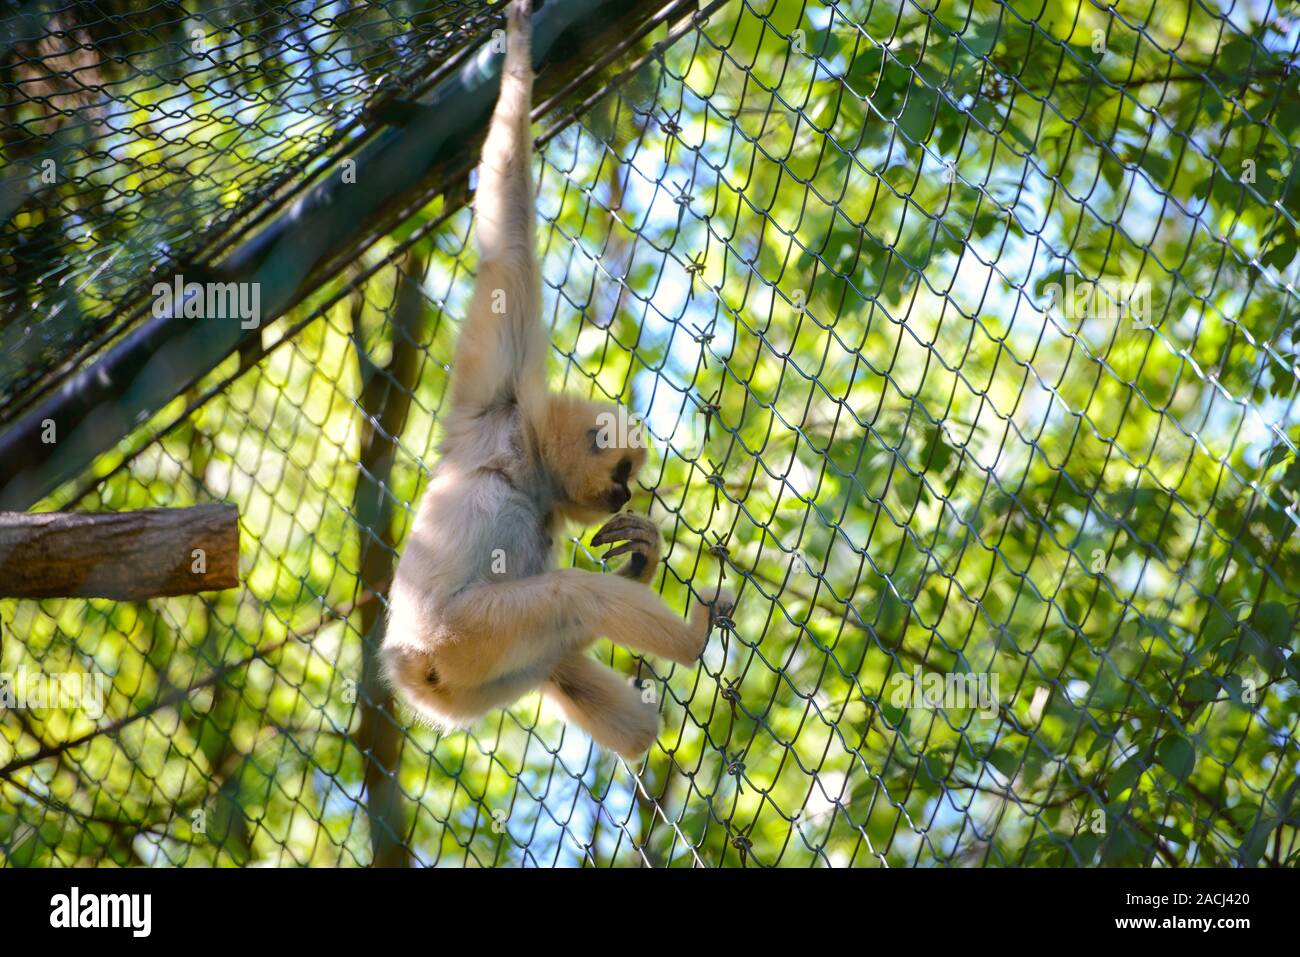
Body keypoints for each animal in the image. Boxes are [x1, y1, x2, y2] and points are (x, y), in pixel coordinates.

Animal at [382, 0, 733, 760]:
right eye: (624, 470)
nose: (626, 492)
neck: (529, 465)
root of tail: (412, 674)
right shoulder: (494, 399)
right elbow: (505, 249)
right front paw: (516, 58)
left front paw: (640, 561)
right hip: (460, 638)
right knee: (573, 598)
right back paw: (691, 641)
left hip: (488, 676)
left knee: (585, 681)